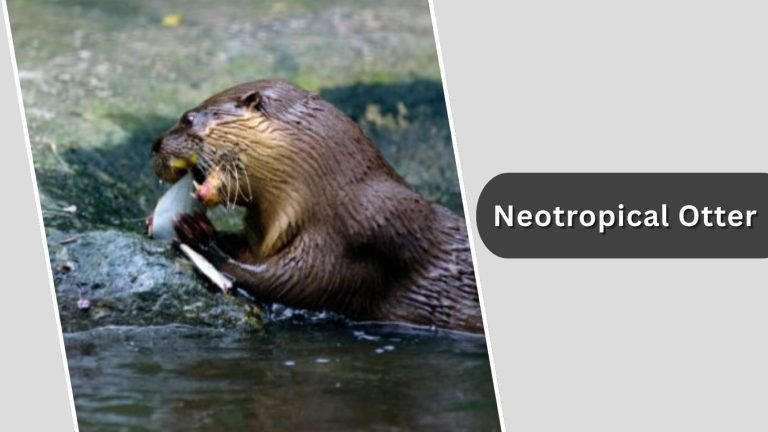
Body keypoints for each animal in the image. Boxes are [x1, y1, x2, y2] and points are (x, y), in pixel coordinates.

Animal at [151, 80, 483, 333]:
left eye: (188, 118)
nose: (154, 145)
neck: (331, 191)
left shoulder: (353, 238)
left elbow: (289, 281)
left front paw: (200, 235)